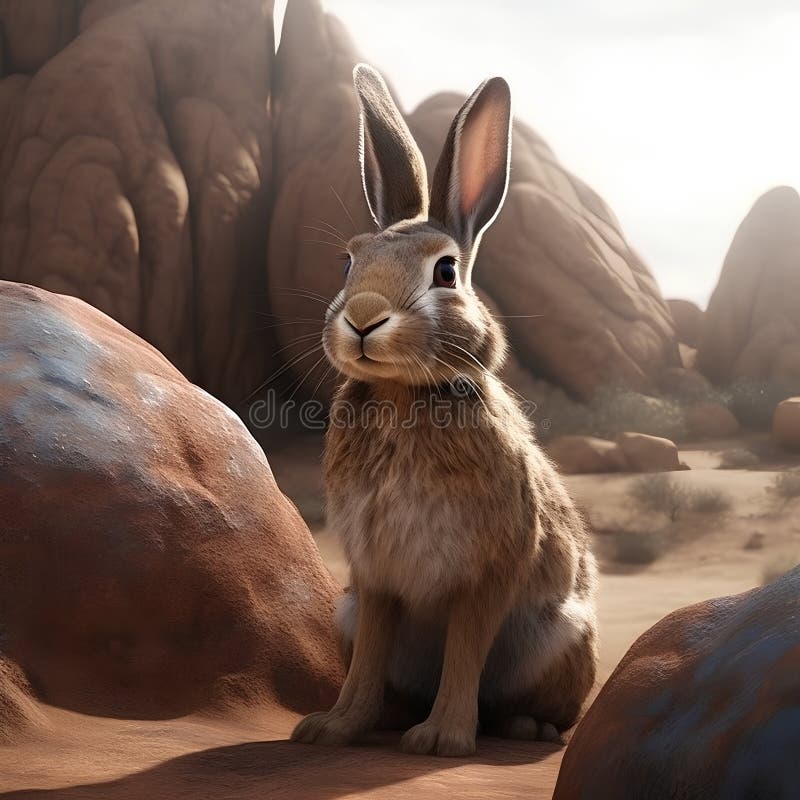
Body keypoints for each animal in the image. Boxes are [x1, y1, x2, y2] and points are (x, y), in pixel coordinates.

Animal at [291, 64, 598, 757]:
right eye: (348, 262)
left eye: (447, 272)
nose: (363, 318)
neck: (403, 396)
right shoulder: (374, 576)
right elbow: (370, 654)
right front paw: (332, 728)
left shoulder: (489, 571)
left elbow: (465, 650)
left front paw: (442, 741)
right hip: (346, 613)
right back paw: (391, 716)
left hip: (559, 641)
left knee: (528, 704)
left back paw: (522, 727)